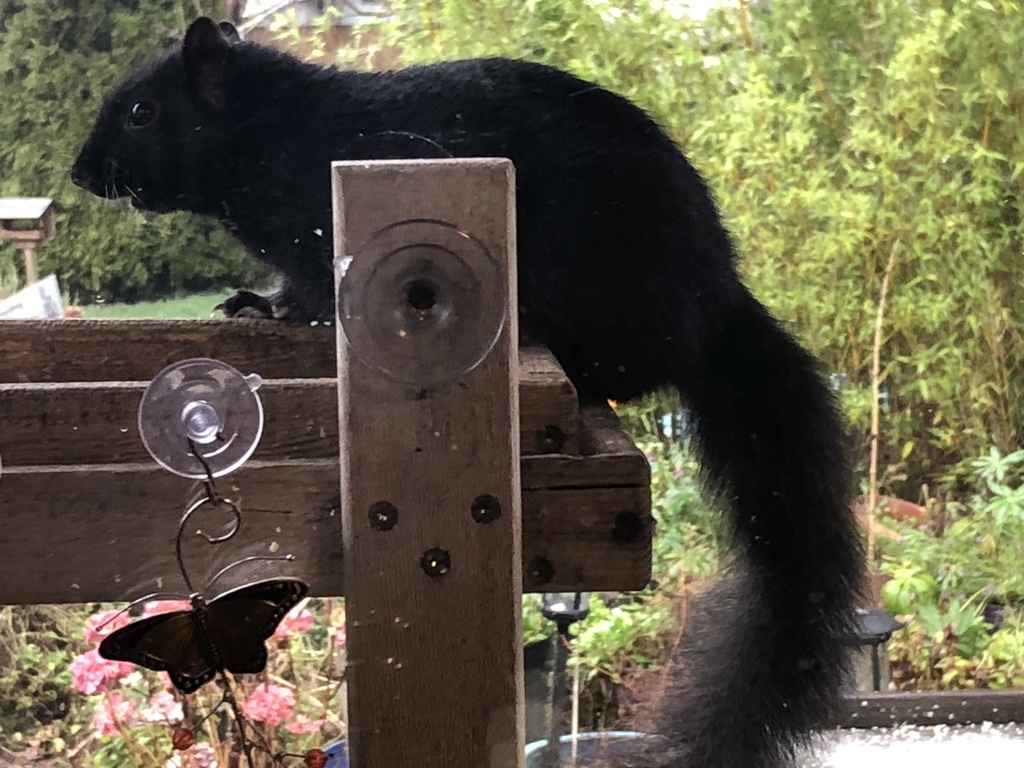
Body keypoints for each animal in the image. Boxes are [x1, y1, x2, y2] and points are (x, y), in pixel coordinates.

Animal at [71, 17, 864, 768]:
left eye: (141, 111)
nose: (80, 174)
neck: (276, 127)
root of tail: (716, 303)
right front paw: (254, 304)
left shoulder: (317, 231)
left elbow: (312, 292)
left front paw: (275, 311)